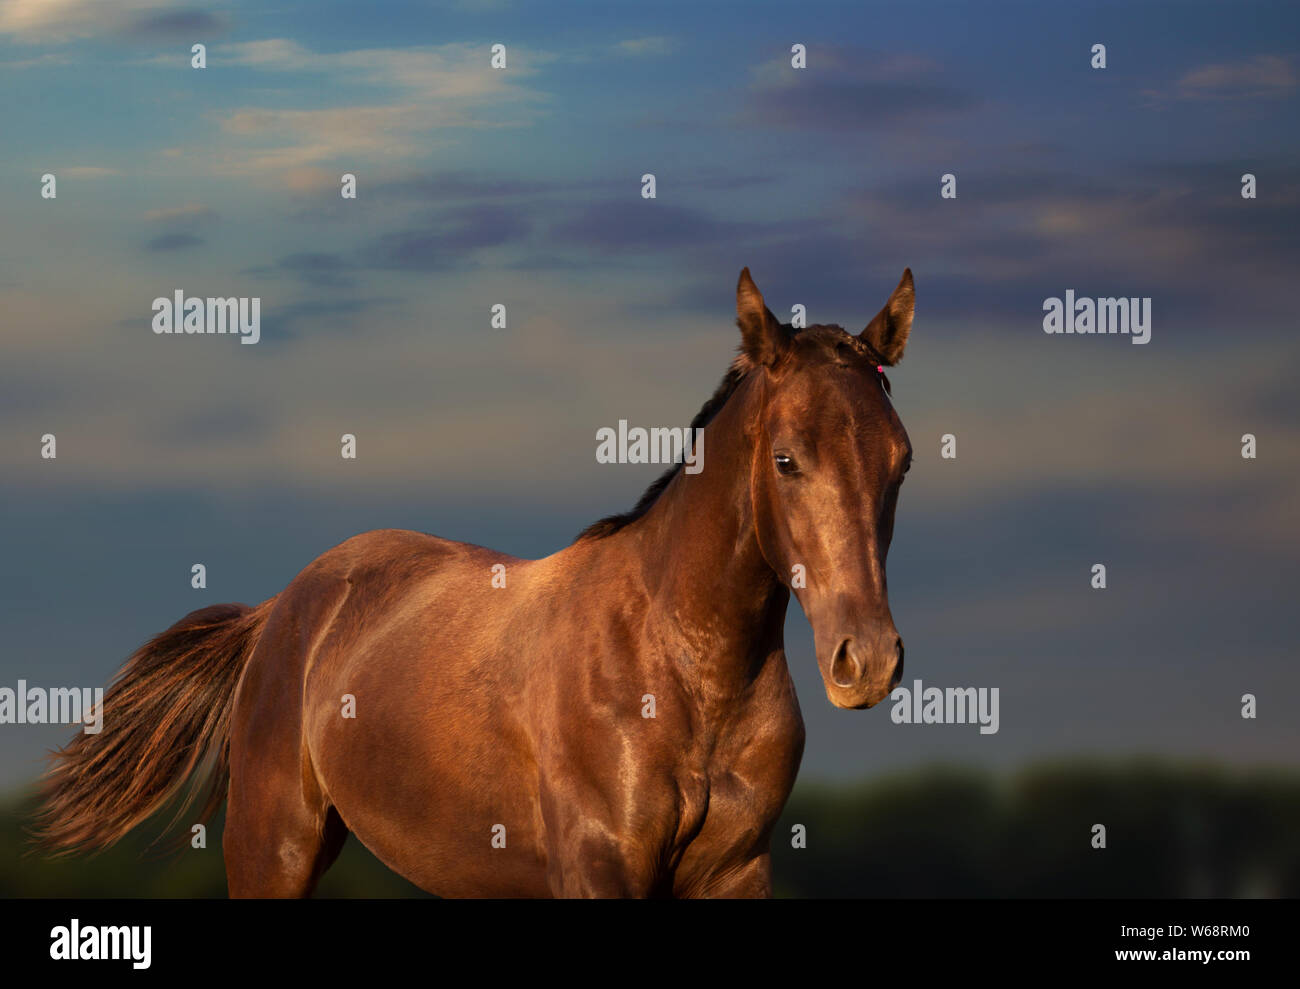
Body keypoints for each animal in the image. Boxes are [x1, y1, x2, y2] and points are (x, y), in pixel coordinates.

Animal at [35, 266, 916, 898]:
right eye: (786, 458)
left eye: (901, 461)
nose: (866, 662)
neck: (681, 667)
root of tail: (280, 611)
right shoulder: (599, 867)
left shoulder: (736, 871)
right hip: (273, 846)